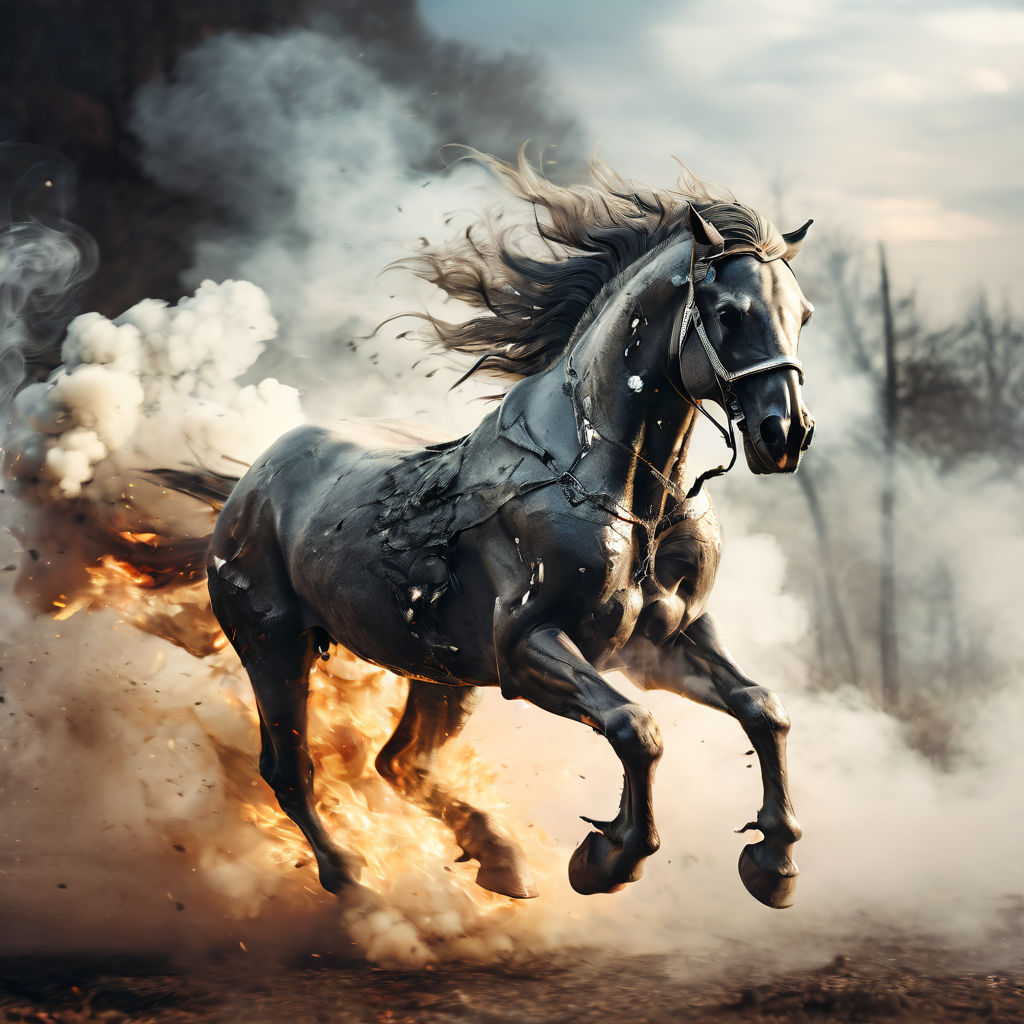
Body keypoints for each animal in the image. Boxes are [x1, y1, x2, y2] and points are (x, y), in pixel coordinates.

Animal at [199, 155, 815, 909]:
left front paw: (775, 862)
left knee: (400, 762)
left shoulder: (669, 639)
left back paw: (500, 860)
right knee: (292, 770)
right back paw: (353, 878)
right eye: (729, 313)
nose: (786, 435)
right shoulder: (528, 648)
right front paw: (608, 858)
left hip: (442, 674)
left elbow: (763, 708)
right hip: (274, 647)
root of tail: (250, 484)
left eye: (802, 315)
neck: (624, 496)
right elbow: (635, 727)